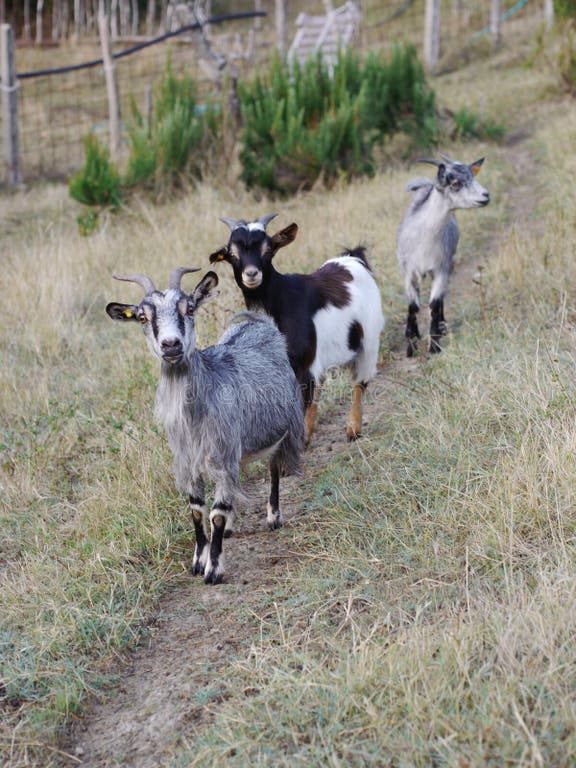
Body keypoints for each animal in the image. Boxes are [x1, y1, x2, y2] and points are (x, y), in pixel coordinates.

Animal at [106, 267, 304, 585]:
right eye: (142, 317)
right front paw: (198, 560)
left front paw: (213, 569)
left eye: (189, 308)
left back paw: (273, 516)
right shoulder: (189, 461)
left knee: (274, 469)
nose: (171, 345)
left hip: (280, 429)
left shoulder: (222, 453)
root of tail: (259, 324)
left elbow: (216, 514)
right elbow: (197, 510)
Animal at [209, 215, 384, 444]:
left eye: (269, 249)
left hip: (369, 342)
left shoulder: (303, 362)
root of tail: (353, 259)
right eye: (231, 253)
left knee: (359, 382)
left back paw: (352, 429)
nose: (252, 274)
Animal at [397, 153, 490, 357]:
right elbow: (413, 306)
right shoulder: (408, 273)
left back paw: (442, 324)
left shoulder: (441, 269)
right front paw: (411, 344)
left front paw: (434, 346)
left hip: (449, 263)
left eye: (472, 177)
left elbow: (434, 304)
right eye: (455, 184)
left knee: (441, 298)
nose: (486, 195)